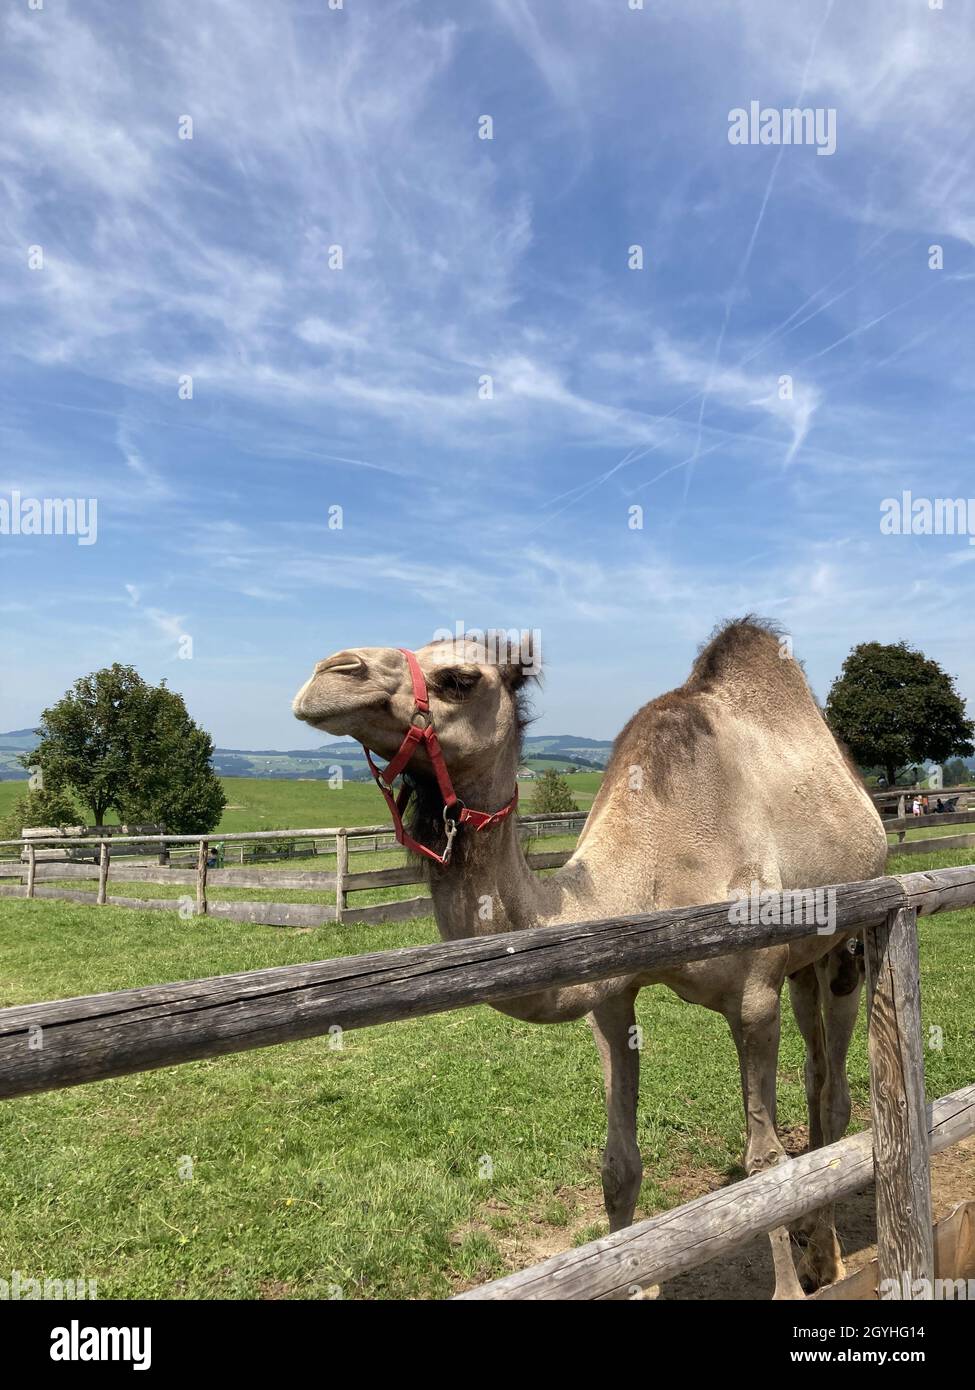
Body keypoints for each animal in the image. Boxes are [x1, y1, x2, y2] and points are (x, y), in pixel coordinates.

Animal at [292, 618, 889, 1298]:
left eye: (459, 679)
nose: (329, 674)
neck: (648, 868)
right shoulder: (610, 995)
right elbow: (619, 1165)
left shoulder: (754, 997)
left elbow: (763, 1164)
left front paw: (787, 1283)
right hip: (803, 962)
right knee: (817, 1072)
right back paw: (817, 1242)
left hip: (850, 936)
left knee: (835, 1089)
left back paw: (826, 1258)